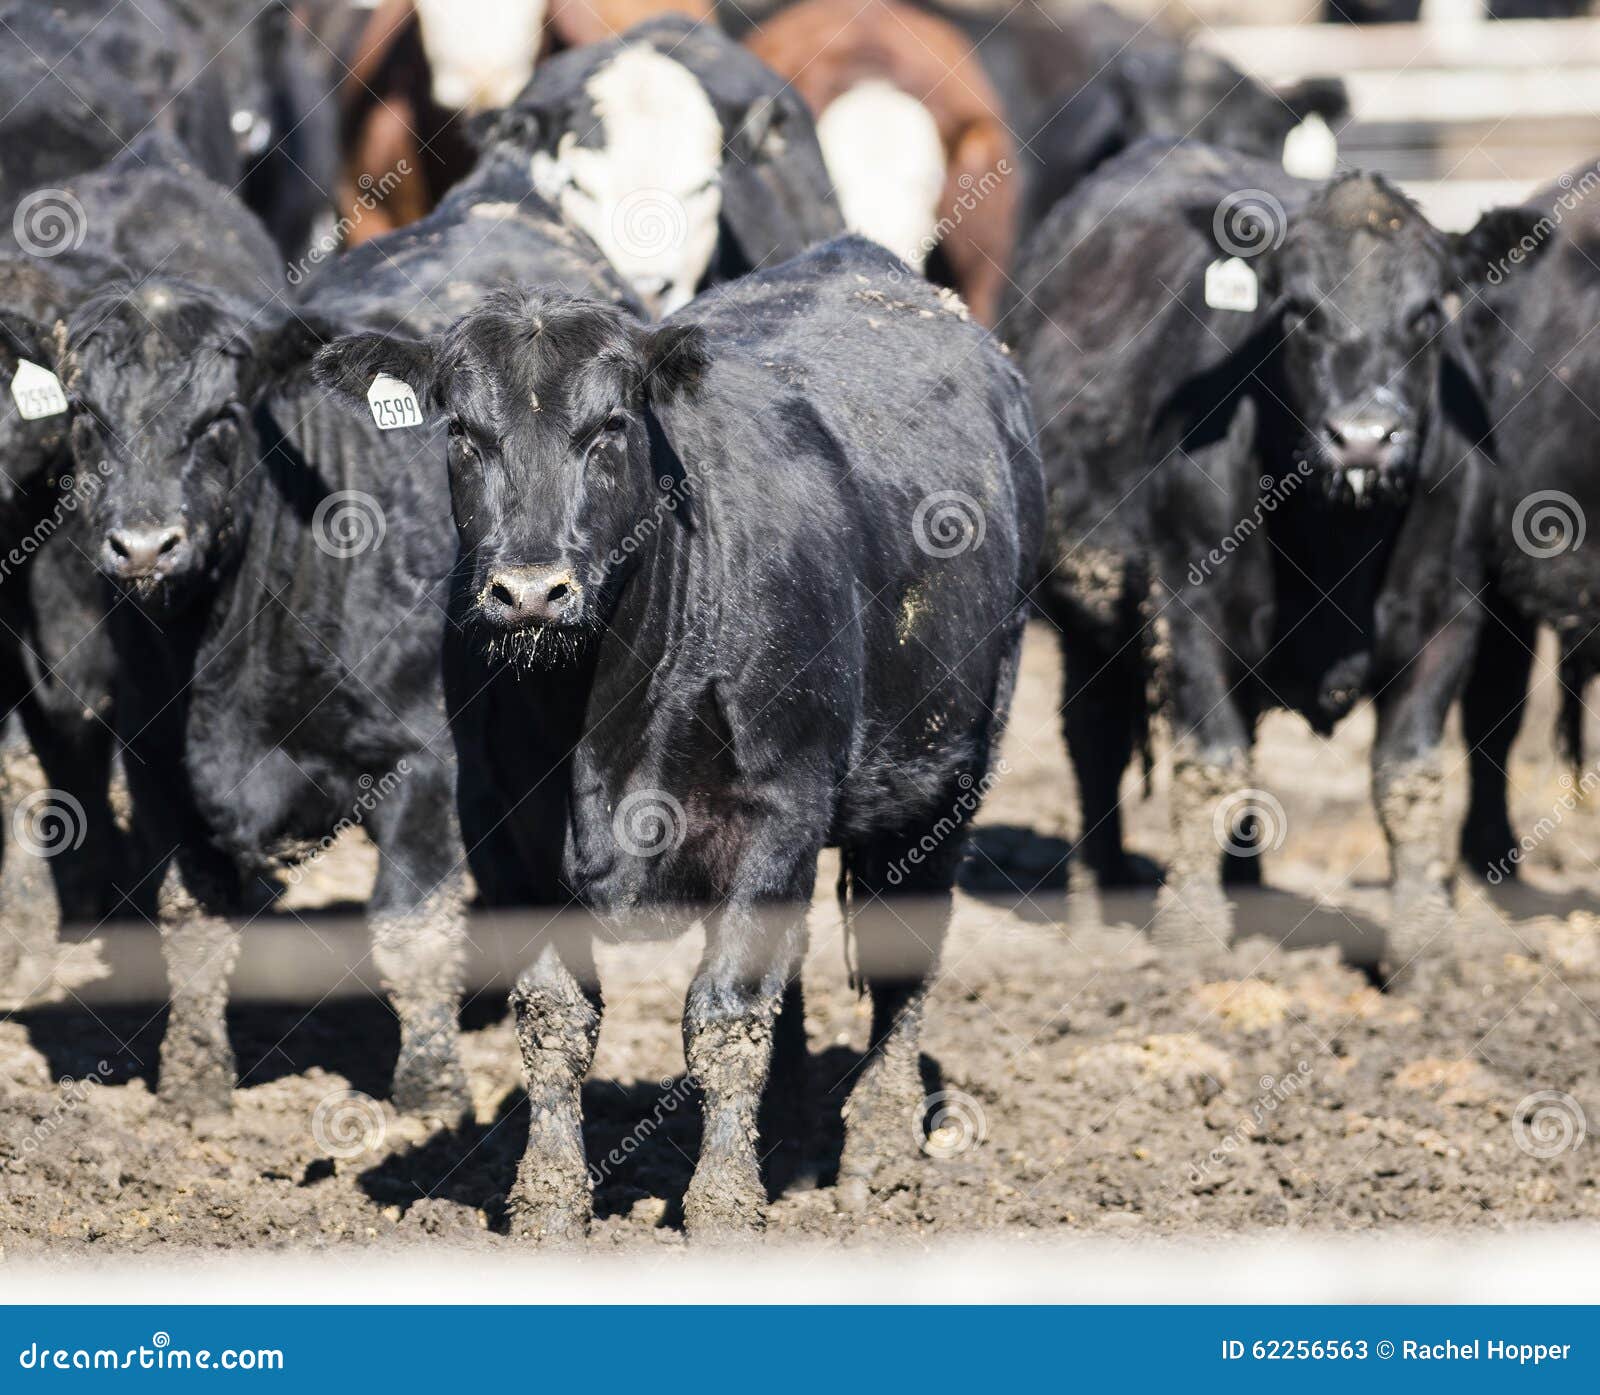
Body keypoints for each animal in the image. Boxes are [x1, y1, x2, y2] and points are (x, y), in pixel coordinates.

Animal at [0, 128, 634, 1118]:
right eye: (87, 418)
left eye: (221, 417)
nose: (143, 545)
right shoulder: (157, 764)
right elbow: (191, 922)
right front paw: (192, 1083)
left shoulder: (424, 760)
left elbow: (411, 926)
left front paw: (429, 1087)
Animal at [311, 235, 1042, 1239]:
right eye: (460, 430)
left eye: (611, 426)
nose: (530, 591)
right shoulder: (500, 827)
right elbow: (554, 1017)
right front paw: (549, 1203)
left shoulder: (779, 807)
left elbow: (727, 1015)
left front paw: (724, 1207)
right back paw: (790, 1142)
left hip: (951, 774)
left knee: (905, 962)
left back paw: (880, 1154)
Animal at [1004, 140, 1545, 982]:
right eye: (1298, 313)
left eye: (1427, 313)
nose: (1363, 436)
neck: (1338, 536)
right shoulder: (1185, 608)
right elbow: (1211, 764)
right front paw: (1190, 939)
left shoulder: (1449, 614)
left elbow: (1408, 776)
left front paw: (1423, 950)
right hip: (1084, 611)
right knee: (1093, 736)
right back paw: (1102, 896)